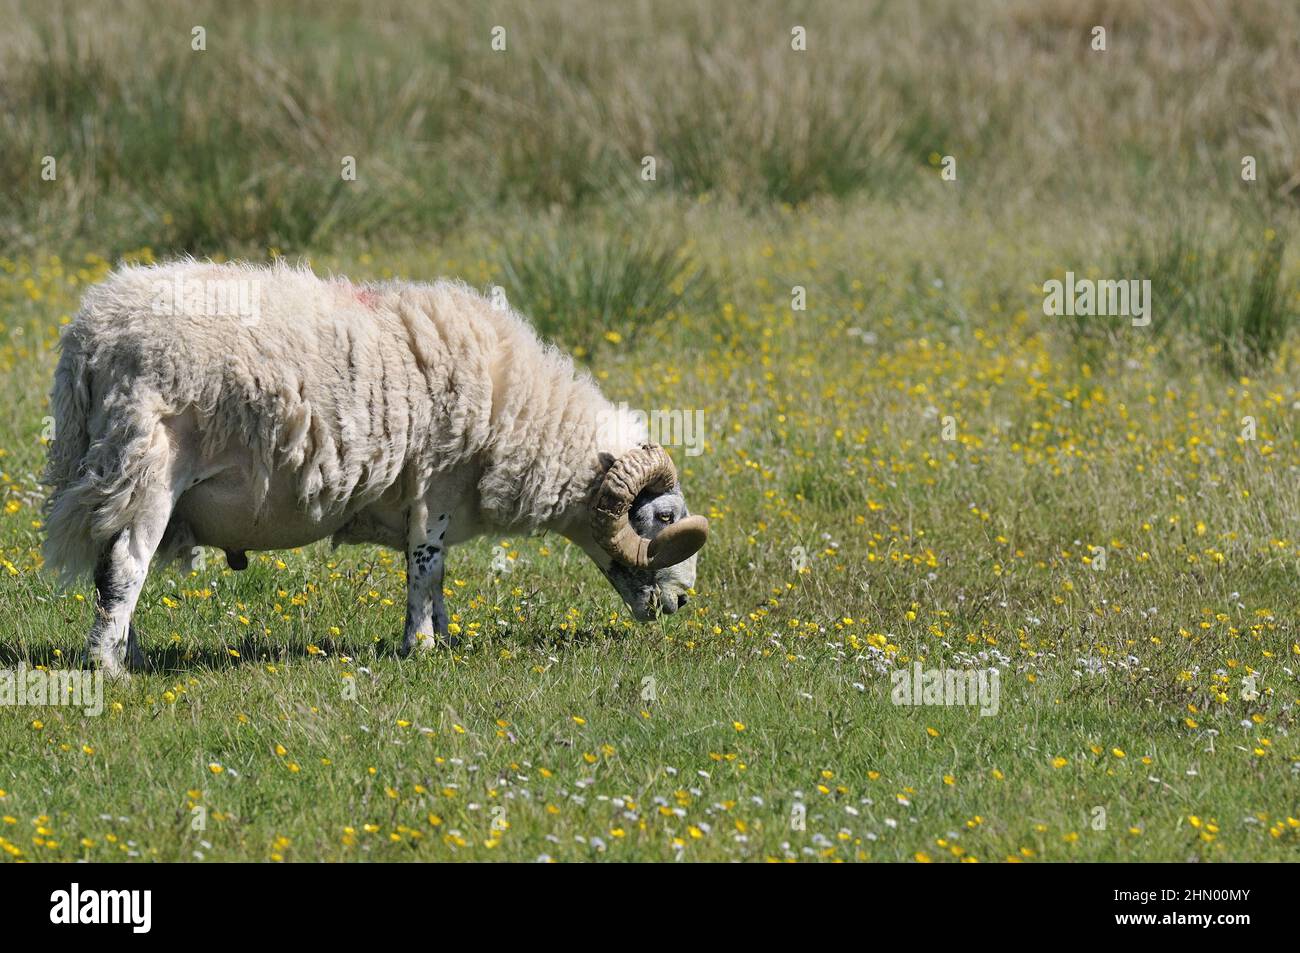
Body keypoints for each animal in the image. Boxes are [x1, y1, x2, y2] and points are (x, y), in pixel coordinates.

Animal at [43, 260, 709, 676]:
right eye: (663, 517)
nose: (679, 605)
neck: (521, 410)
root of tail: (92, 333)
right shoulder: (435, 486)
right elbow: (423, 567)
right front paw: (421, 648)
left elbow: (437, 578)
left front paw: (445, 638)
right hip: (149, 462)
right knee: (125, 566)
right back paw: (109, 667)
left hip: (115, 468)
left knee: (110, 560)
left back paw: (129, 656)